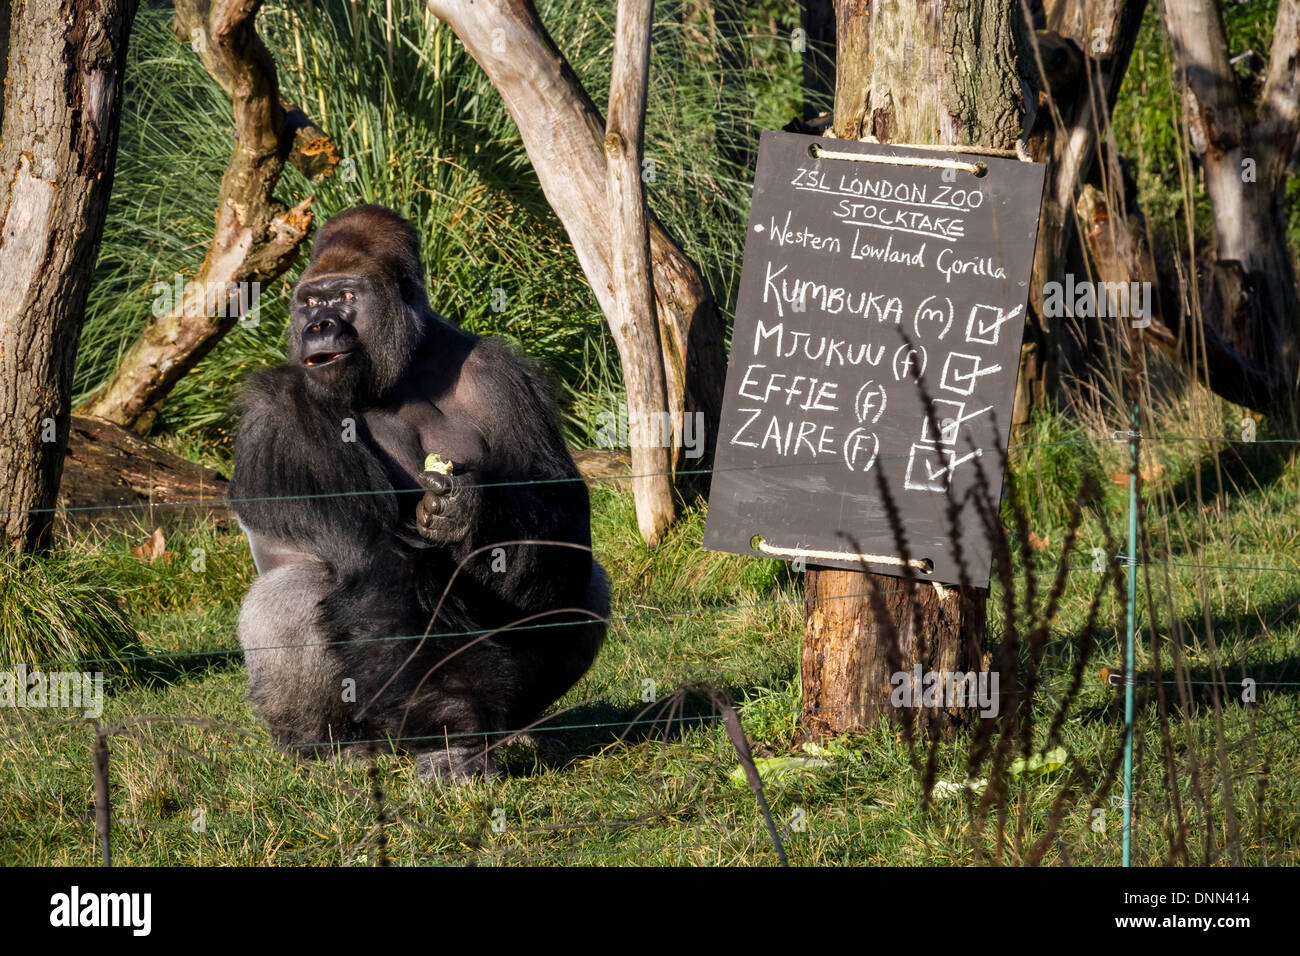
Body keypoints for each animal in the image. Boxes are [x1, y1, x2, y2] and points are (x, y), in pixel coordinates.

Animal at [226, 205, 609, 782]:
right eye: (311, 302)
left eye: (345, 297)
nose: (319, 326)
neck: (396, 370)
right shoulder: (280, 411)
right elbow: (381, 558)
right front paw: (454, 728)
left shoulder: (502, 374)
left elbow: (559, 505)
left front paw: (471, 508)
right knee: (294, 590)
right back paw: (330, 747)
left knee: (583, 579)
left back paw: (519, 730)